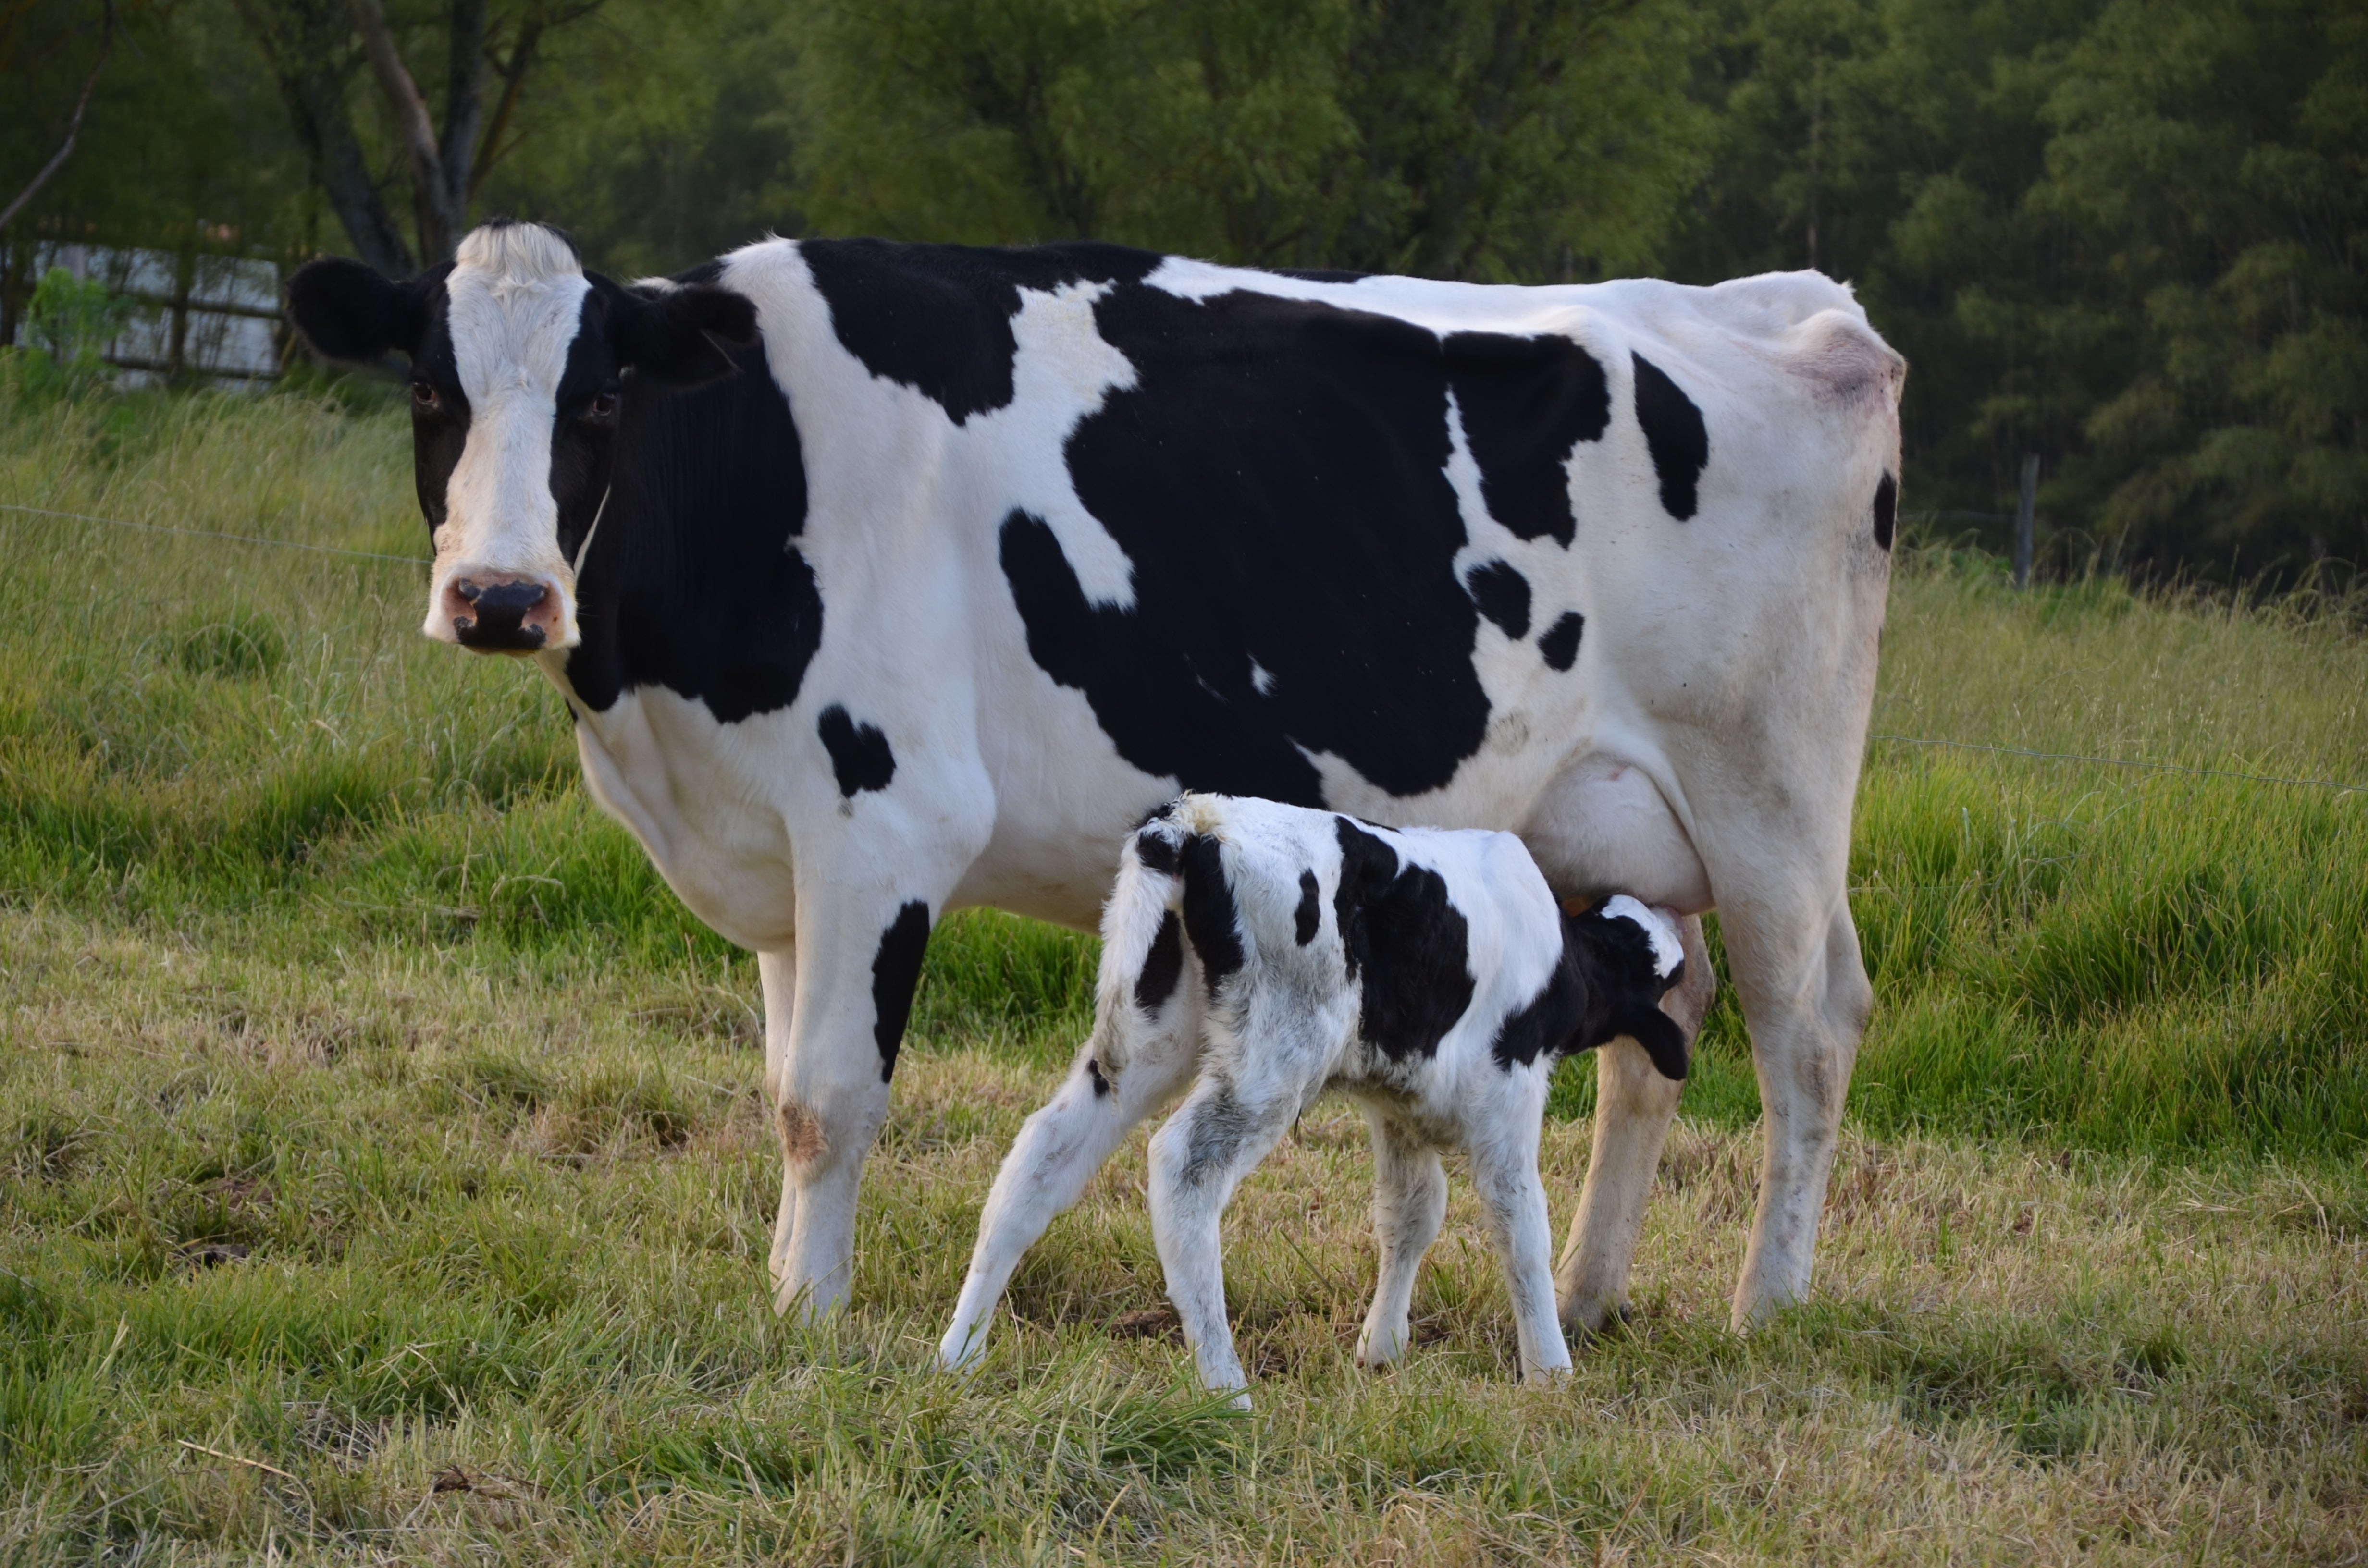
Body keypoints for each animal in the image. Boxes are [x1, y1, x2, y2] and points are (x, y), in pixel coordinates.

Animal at [284, 219, 1901, 1338]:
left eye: (600, 403)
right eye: (429, 392)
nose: (501, 595)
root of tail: (1781, 304)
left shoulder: (885, 818)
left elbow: (830, 1095)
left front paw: (810, 1315)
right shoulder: (778, 842)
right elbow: (781, 1084)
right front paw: (786, 1282)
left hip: (1770, 807)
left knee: (1807, 1028)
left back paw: (1766, 1306)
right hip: (1610, 823)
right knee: (1655, 1021)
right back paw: (1588, 1288)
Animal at [937, 794, 1691, 1399]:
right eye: (1659, 974)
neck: (1564, 958)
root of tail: (1192, 823)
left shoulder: (1398, 1105)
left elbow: (1413, 1215)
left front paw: (1381, 1350)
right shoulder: (1509, 1092)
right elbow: (1522, 1226)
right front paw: (1550, 1373)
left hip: (1145, 1041)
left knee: (1043, 1154)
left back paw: (958, 1356)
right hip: (1274, 1057)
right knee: (1182, 1167)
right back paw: (1226, 1391)